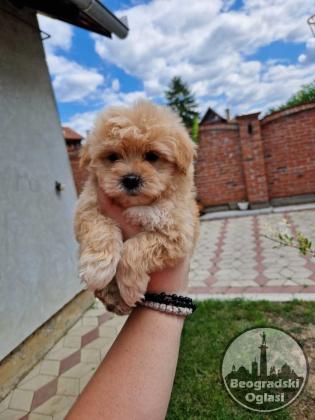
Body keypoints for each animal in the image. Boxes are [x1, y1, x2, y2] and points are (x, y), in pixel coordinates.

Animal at [74, 99, 200, 316]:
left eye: (152, 156)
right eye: (113, 157)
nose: (131, 179)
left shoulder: (177, 232)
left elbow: (134, 247)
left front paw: (130, 288)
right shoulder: (87, 208)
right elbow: (101, 229)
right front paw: (97, 268)